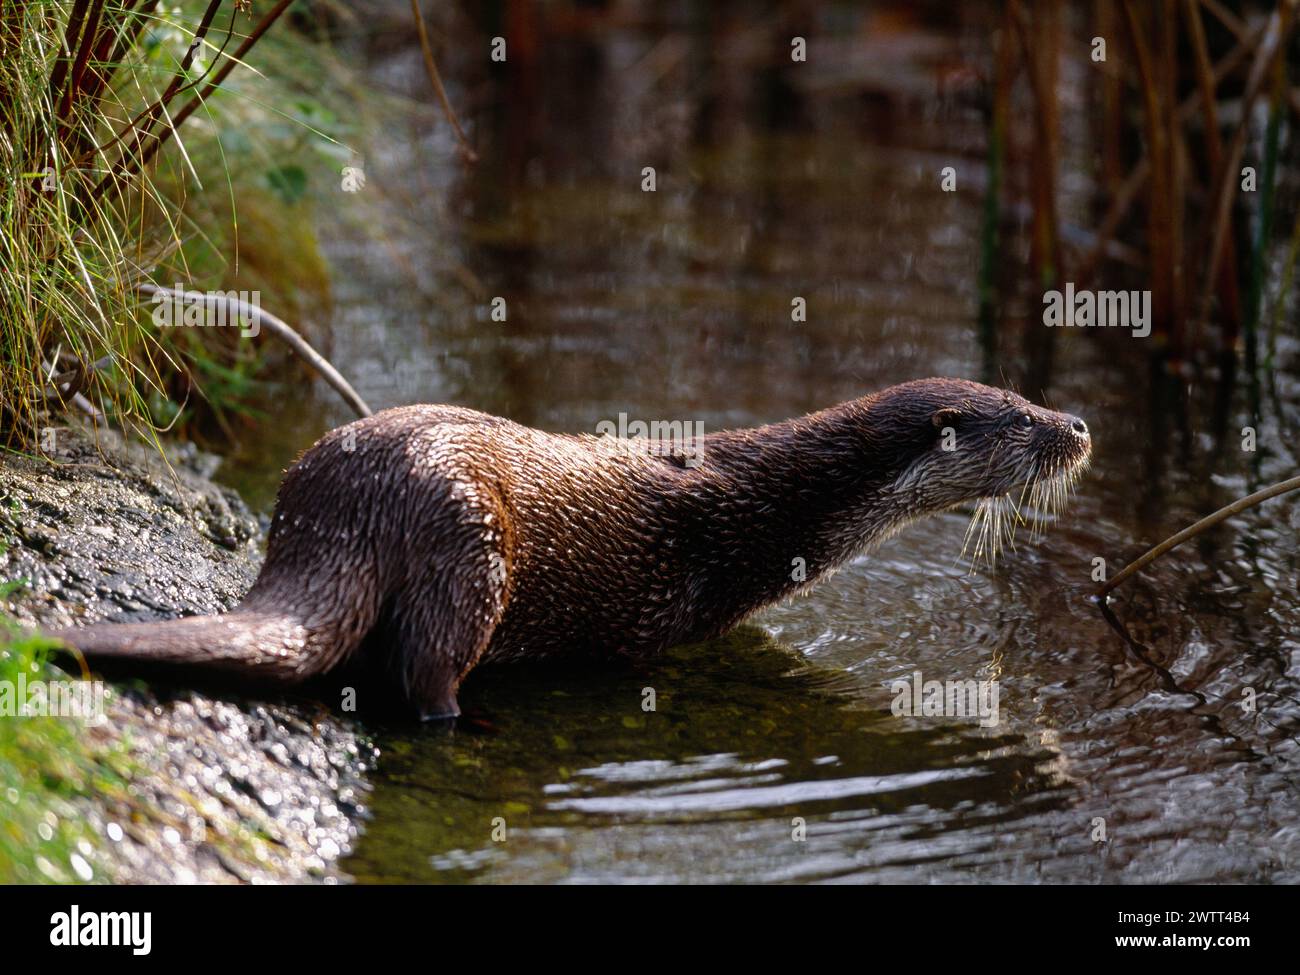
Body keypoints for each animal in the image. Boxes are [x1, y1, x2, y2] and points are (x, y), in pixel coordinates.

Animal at [59, 378, 1091, 720]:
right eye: (1019, 418)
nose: (1079, 422)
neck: (764, 503)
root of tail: (348, 506)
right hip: (471, 539)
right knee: (424, 669)